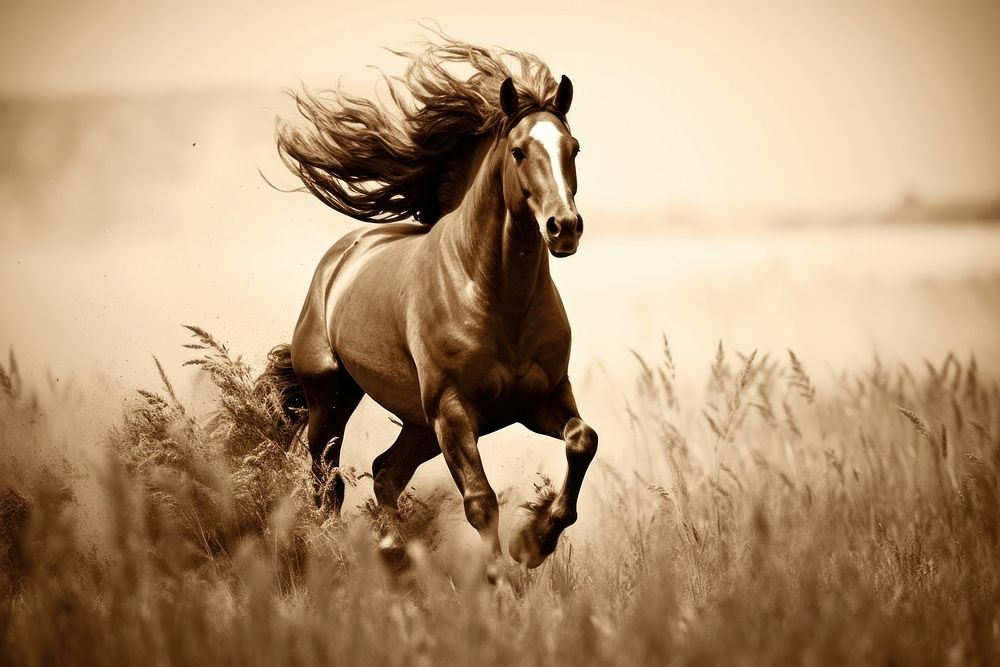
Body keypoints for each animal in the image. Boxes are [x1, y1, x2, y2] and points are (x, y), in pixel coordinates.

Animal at [268, 35, 597, 571]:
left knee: (384, 472)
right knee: (327, 482)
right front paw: (499, 576)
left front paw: (535, 541)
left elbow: (582, 440)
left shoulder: (543, 399)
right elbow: (480, 501)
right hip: (331, 399)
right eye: (519, 150)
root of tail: (338, 261)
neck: (496, 297)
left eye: (574, 148)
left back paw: (394, 554)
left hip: (417, 425)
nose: (563, 227)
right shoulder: (454, 411)